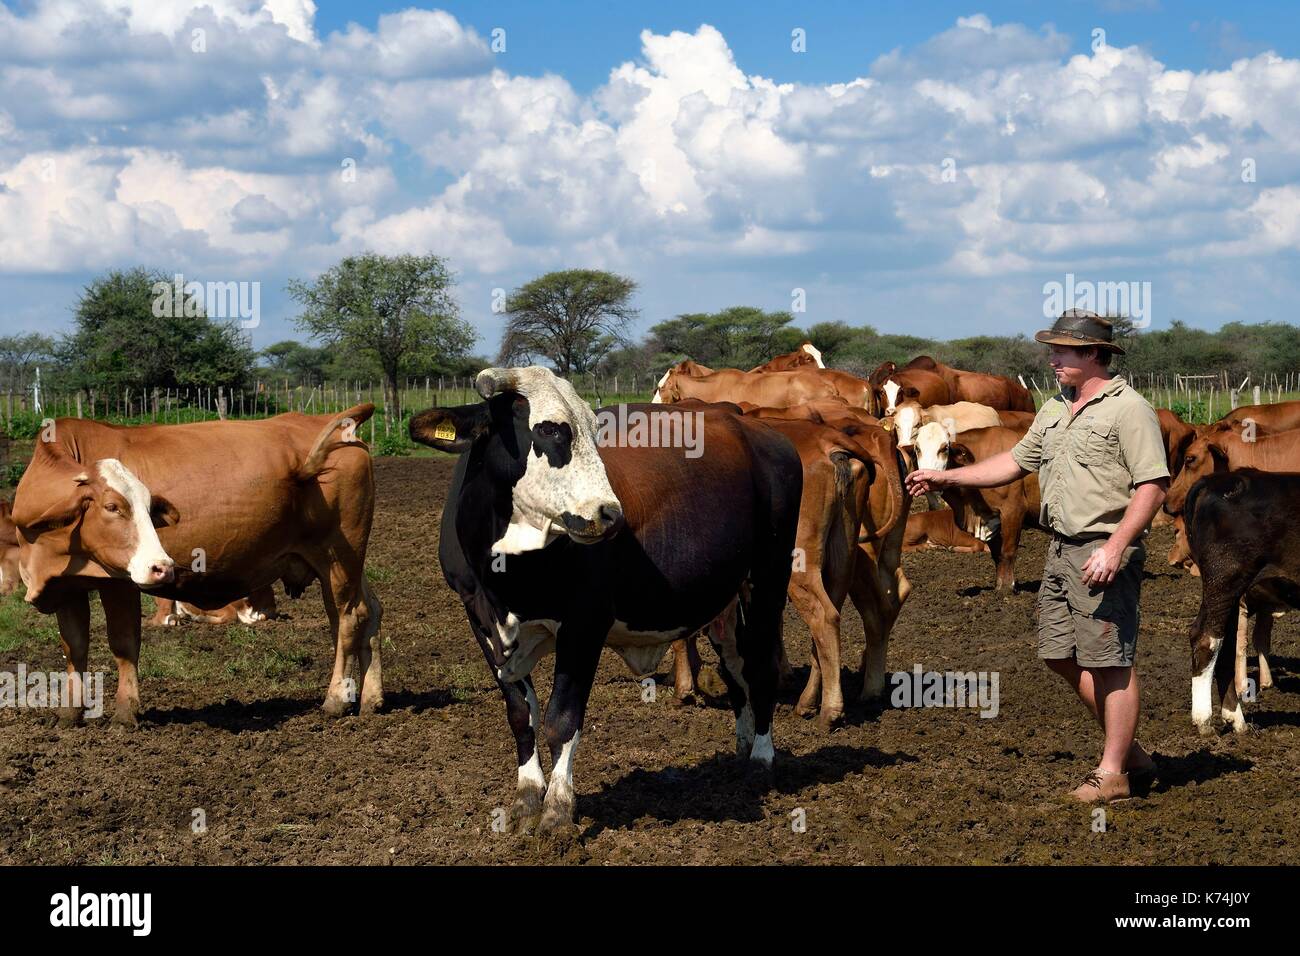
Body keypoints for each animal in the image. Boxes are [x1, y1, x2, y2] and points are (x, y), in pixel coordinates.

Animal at [411, 368, 802, 834]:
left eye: (593, 431)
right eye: (549, 430)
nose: (610, 514)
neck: (507, 573)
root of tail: (758, 431)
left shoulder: (585, 624)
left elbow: (562, 720)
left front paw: (557, 810)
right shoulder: (479, 619)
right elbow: (521, 715)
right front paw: (527, 798)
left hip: (767, 583)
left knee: (760, 669)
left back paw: (761, 758)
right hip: (724, 604)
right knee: (735, 670)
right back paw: (742, 748)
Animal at [913, 421, 1042, 590]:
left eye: (944, 448)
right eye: (917, 448)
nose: (926, 478)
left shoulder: (1014, 509)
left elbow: (1008, 551)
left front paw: (1006, 588)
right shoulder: (990, 519)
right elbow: (997, 554)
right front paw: (998, 586)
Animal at [1182, 470, 1300, 736]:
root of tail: (1221, 480)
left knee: (1225, 645)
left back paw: (1235, 718)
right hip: (1224, 580)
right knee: (1205, 638)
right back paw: (1204, 720)